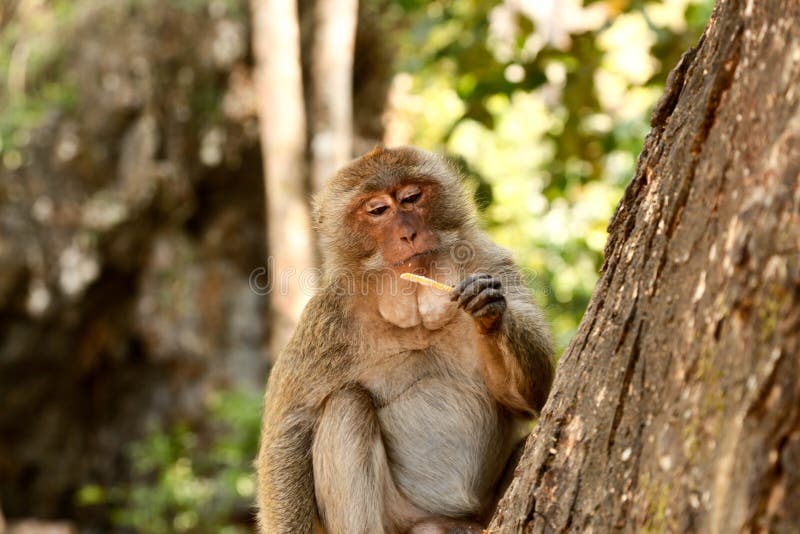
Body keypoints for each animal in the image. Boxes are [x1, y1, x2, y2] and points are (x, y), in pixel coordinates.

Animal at [256, 146, 555, 534]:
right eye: (377, 210)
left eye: (412, 198)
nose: (408, 233)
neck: (416, 313)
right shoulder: (327, 319)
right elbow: (289, 432)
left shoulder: (492, 261)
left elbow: (533, 397)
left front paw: (491, 315)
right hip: (402, 518)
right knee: (347, 405)